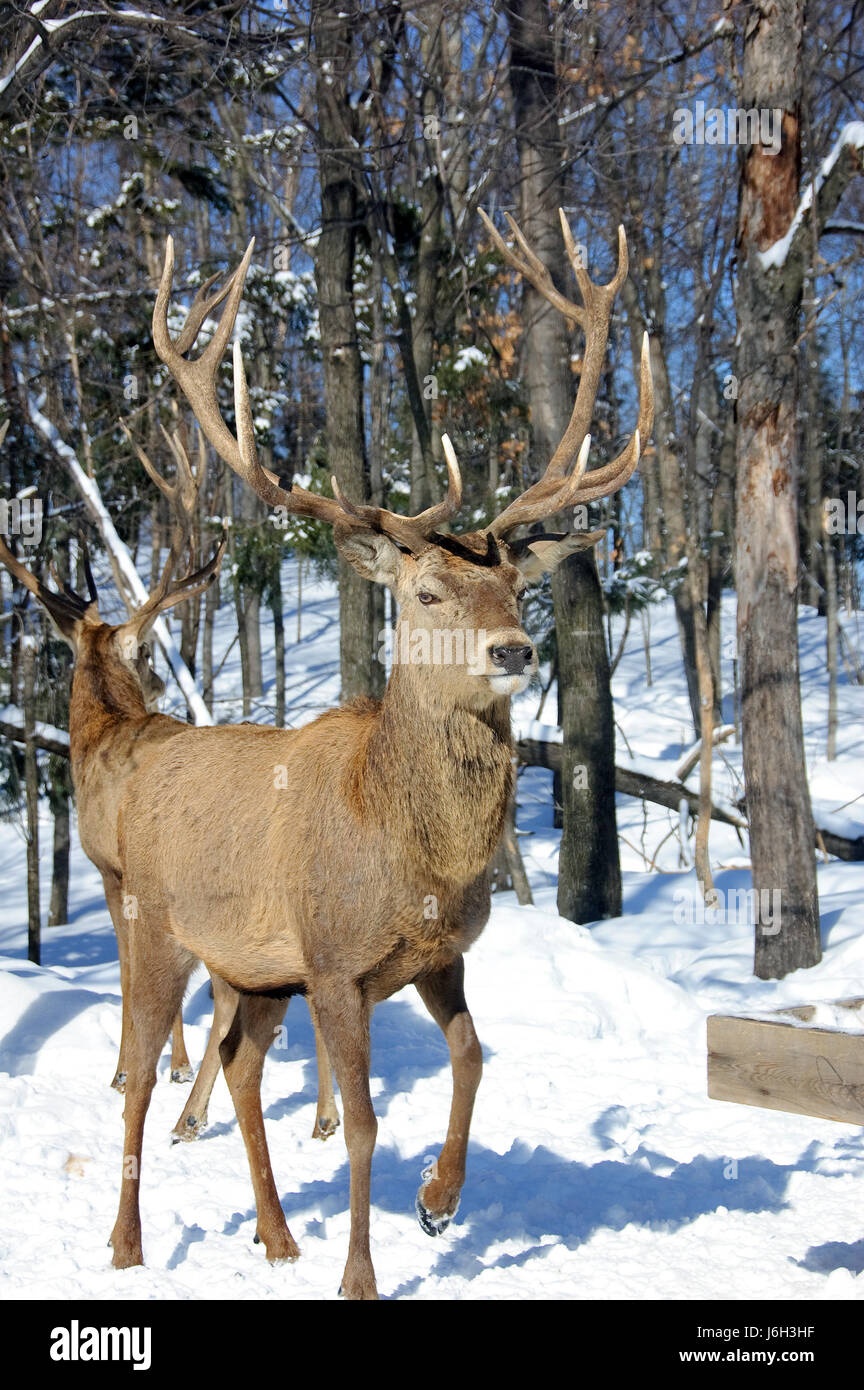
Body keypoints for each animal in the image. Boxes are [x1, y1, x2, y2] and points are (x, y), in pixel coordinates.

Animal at [105, 209, 652, 1300]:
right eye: (427, 592)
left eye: (517, 588)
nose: (514, 650)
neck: (411, 856)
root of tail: (151, 760)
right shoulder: (333, 961)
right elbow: (357, 1122)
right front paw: (362, 1274)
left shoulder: (434, 958)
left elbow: (475, 1055)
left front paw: (440, 1200)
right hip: (155, 925)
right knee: (142, 1072)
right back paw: (126, 1245)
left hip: (254, 970)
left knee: (238, 1063)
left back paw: (276, 1235)